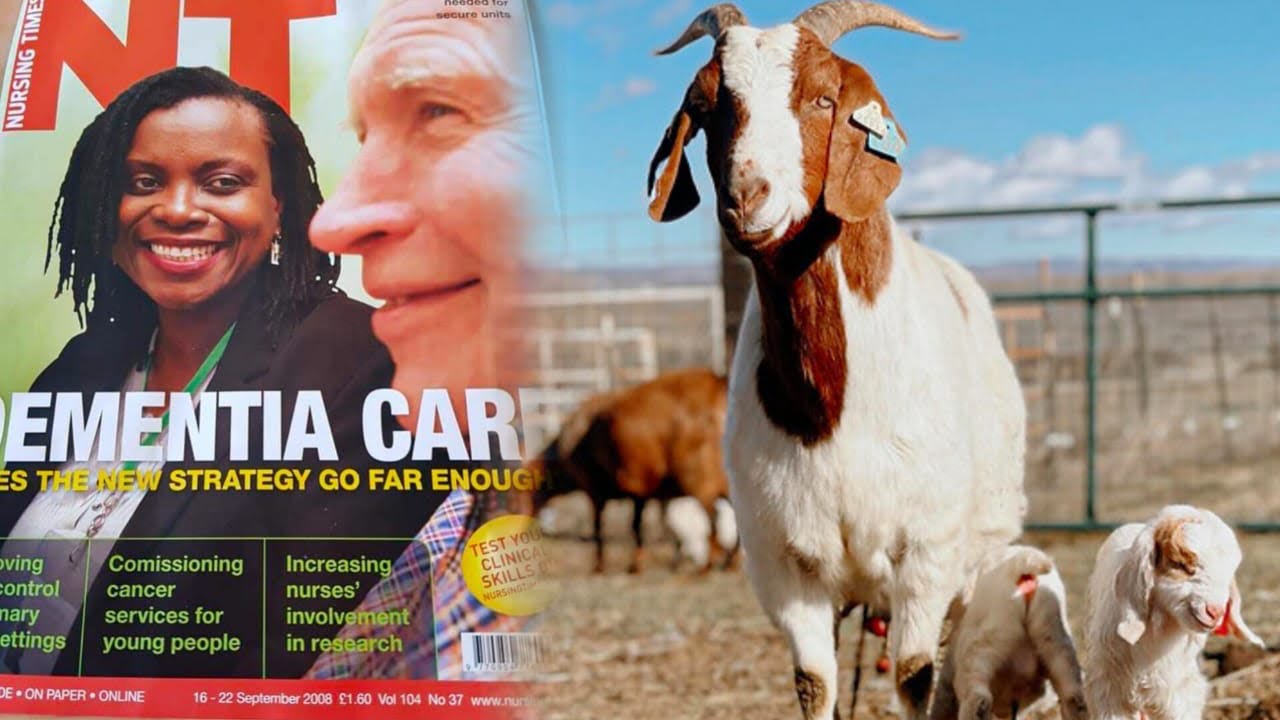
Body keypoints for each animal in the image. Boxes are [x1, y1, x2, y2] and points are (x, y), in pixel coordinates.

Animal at [530, 368, 738, 574]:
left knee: (713, 519)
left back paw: (708, 566)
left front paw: (603, 565)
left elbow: (602, 528)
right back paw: (727, 562)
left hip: (699, 480)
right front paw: (639, 562)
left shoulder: (597, 490)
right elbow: (639, 526)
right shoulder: (639, 491)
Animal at [645, 3, 1027, 718]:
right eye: (705, 107)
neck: (833, 405)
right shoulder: (781, 560)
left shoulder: (926, 551)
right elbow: (814, 681)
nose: (747, 198)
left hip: (976, 557)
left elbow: (914, 674)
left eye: (824, 98)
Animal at [930, 545, 1087, 720]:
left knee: (976, 694)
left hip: (985, 641)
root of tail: (1024, 562)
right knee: (1073, 693)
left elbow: (943, 701)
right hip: (1054, 636)